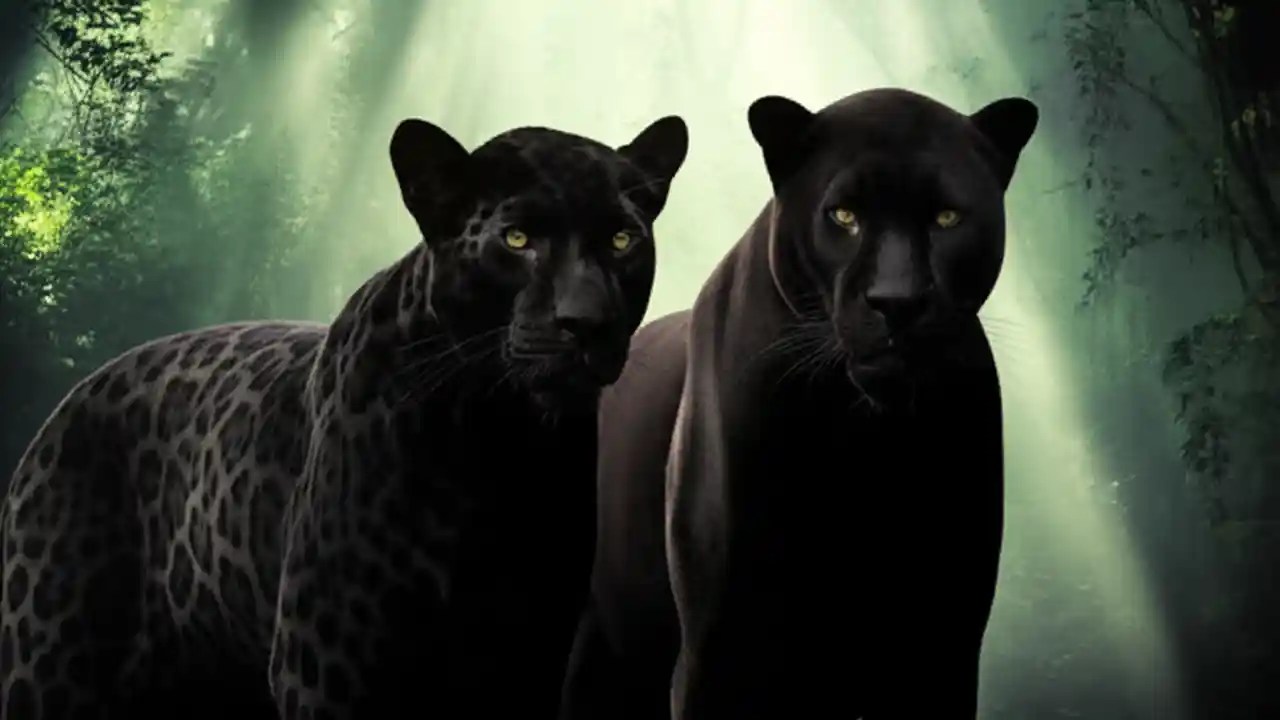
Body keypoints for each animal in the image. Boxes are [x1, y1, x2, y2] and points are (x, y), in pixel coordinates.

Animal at [0, 112, 688, 719]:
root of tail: (66, 402)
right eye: (516, 239)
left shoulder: (529, 662)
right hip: (50, 666)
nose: (588, 324)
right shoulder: (329, 663)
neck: (501, 443)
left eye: (623, 240)